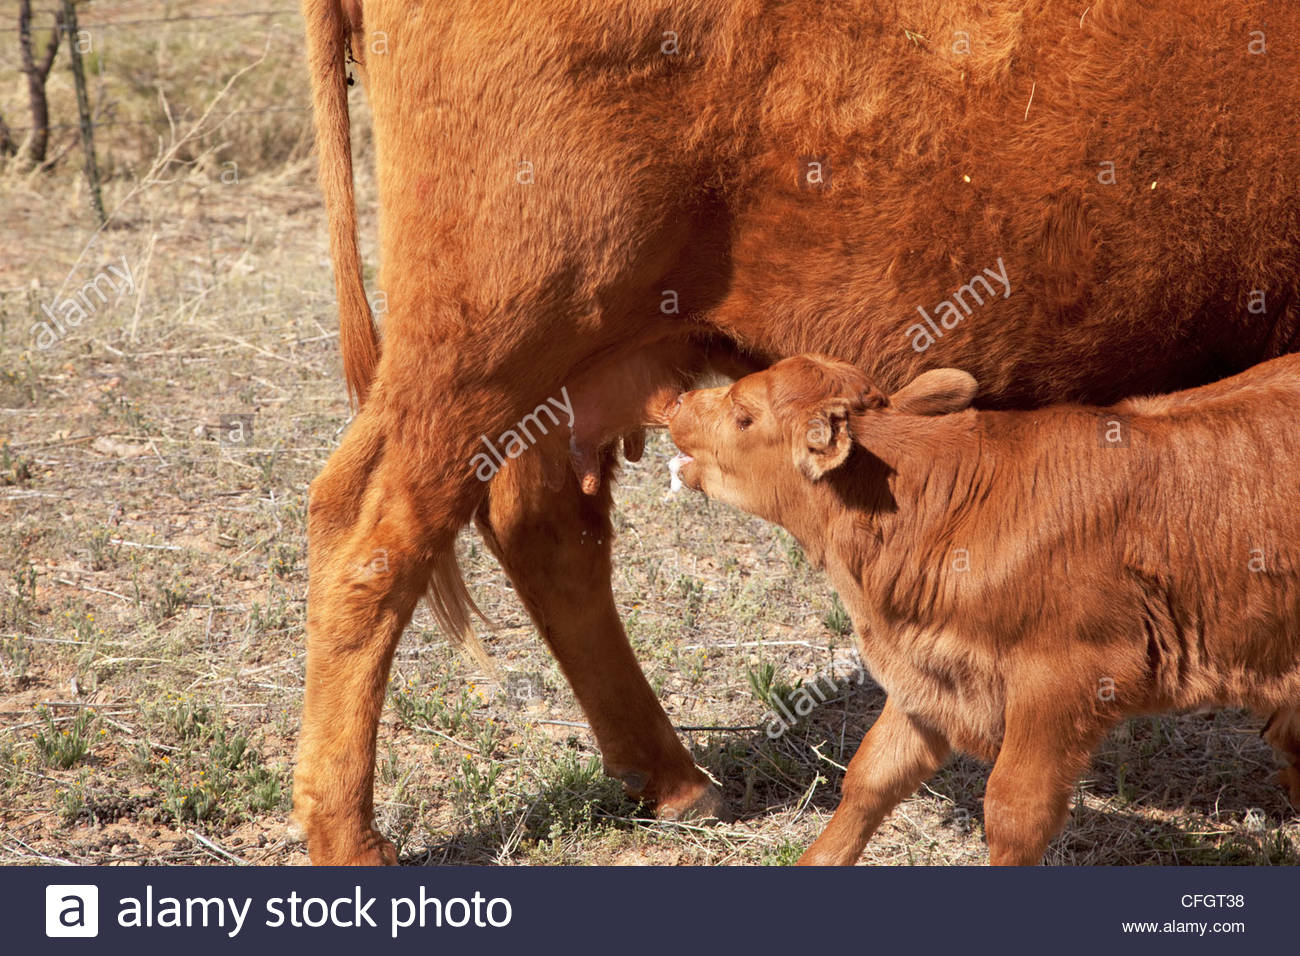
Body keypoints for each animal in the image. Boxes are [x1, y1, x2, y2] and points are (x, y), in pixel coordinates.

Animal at [666, 353, 1300, 864]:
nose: (676, 401)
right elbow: (873, 775)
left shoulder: (1065, 680)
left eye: (744, 415)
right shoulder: (930, 670)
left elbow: (1016, 814)